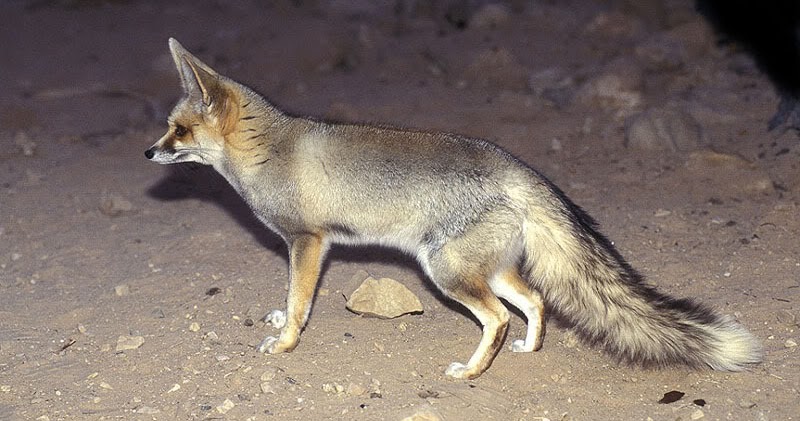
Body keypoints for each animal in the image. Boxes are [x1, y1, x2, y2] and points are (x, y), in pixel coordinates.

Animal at [145, 38, 762, 379]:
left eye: (179, 130)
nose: (148, 152)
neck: (267, 149)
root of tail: (517, 167)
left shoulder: (309, 241)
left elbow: (300, 304)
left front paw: (286, 343)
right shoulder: (308, 246)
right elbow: (294, 299)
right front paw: (279, 321)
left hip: (445, 272)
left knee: (496, 317)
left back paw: (470, 371)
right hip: (489, 270)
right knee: (534, 303)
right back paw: (527, 348)